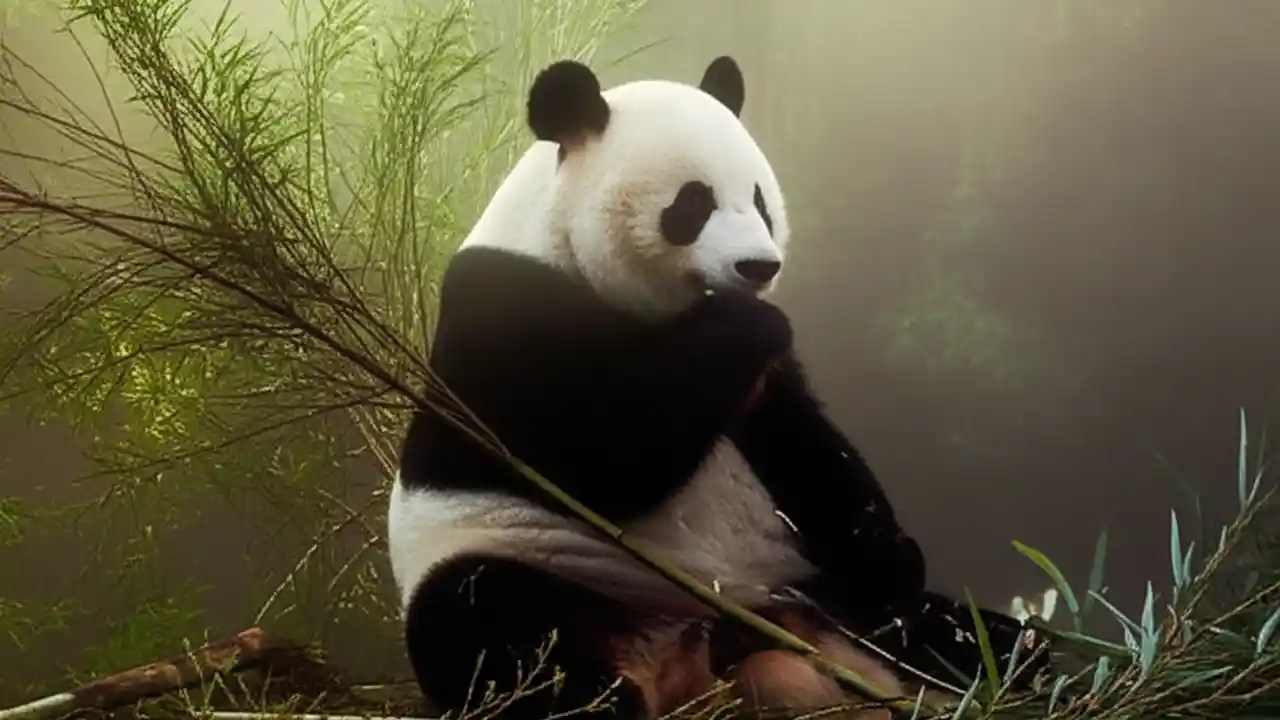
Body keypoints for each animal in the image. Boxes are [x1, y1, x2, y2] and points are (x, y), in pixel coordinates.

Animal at [388, 56, 1050, 719]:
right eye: (692, 203)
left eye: (759, 199)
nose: (759, 267)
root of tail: (693, 661)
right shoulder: (502, 313)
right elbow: (595, 453)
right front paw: (751, 321)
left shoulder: (765, 396)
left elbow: (810, 450)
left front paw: (893, 557)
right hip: (536, 565)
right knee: (487, 628)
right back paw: (591, 695)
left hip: (821, 601)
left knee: (973, 638)